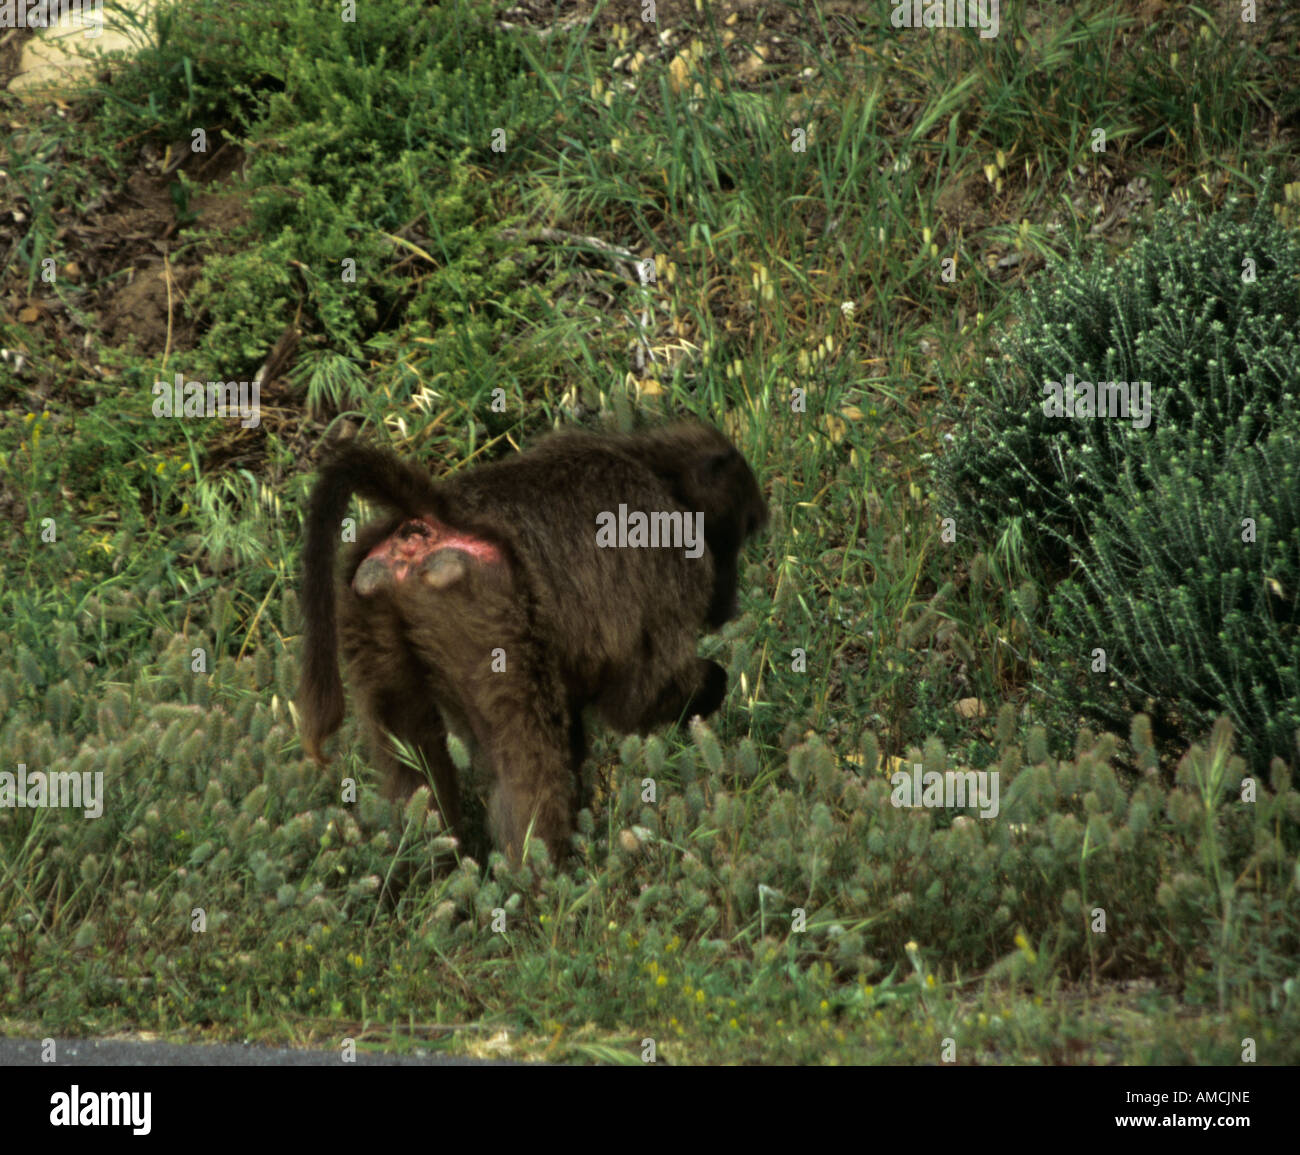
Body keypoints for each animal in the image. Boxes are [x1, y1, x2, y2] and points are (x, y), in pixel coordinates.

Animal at [297, 421, 767, 867]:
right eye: (741, 531)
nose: (728, 603)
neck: (653, 466)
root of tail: (431, 515)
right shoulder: (672, 558)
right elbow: (638, 699)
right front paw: (712, 688)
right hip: (486, 612)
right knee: (526, 760)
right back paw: (542, 878)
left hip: (367, 609)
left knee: (412, 764)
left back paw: (427, 872)